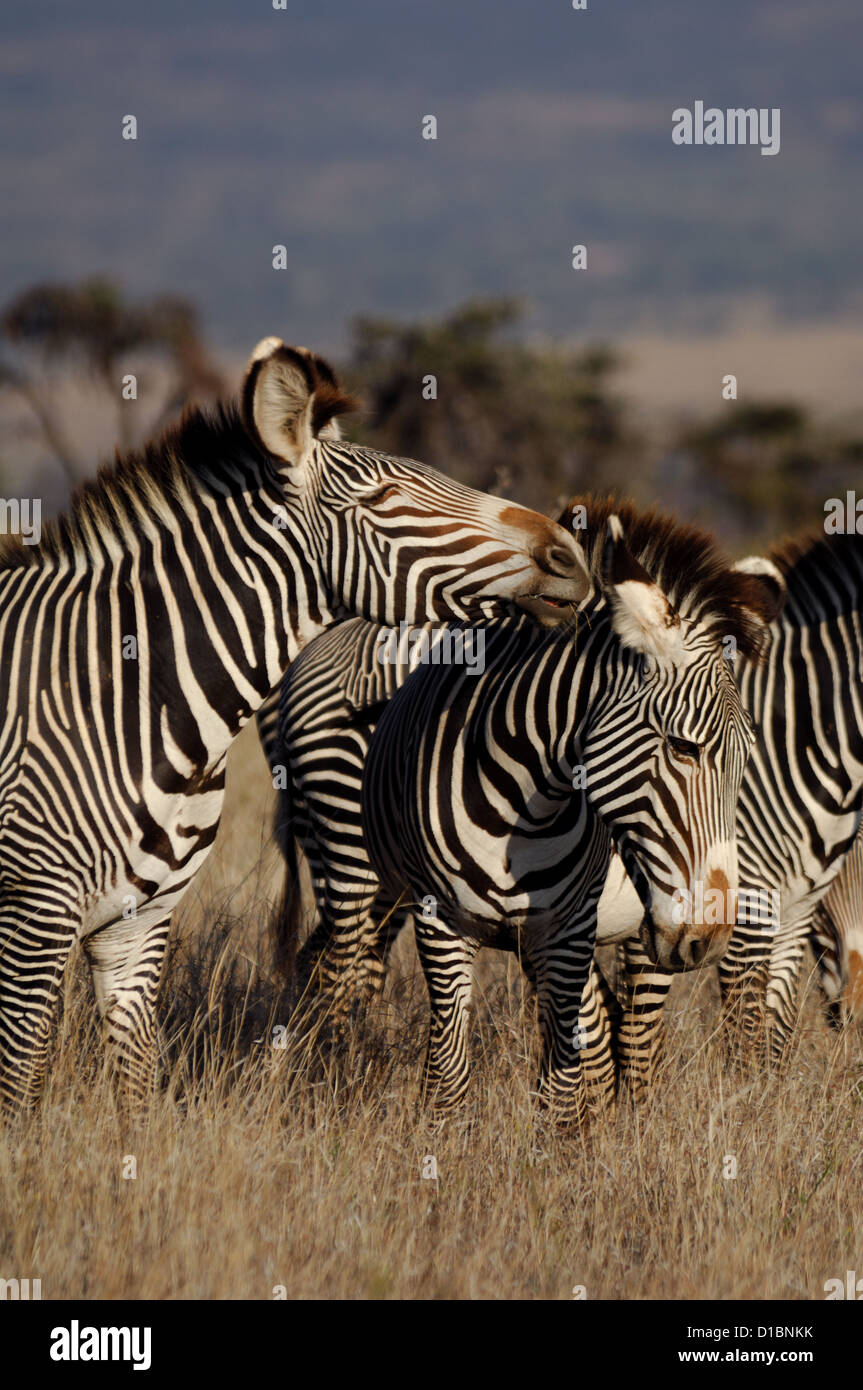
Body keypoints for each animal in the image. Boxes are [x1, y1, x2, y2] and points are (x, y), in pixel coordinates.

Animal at [0, 336, 591, 1115]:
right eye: (384, 501)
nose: (569, 555)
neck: (129, 688)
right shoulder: (32, 913)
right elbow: (16, 1081)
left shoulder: (139, 922)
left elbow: (136, 1082)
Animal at [267, 498, 779, 1124]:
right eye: (684, 747)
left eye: (747, 757)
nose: (712, 936)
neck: (523, 797)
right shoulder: (442, 920)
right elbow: (449, 1076)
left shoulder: (569, 930)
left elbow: (567, 1076)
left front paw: (570, 1145)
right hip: (347, 861)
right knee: (337, 969)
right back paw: (322, 1074)